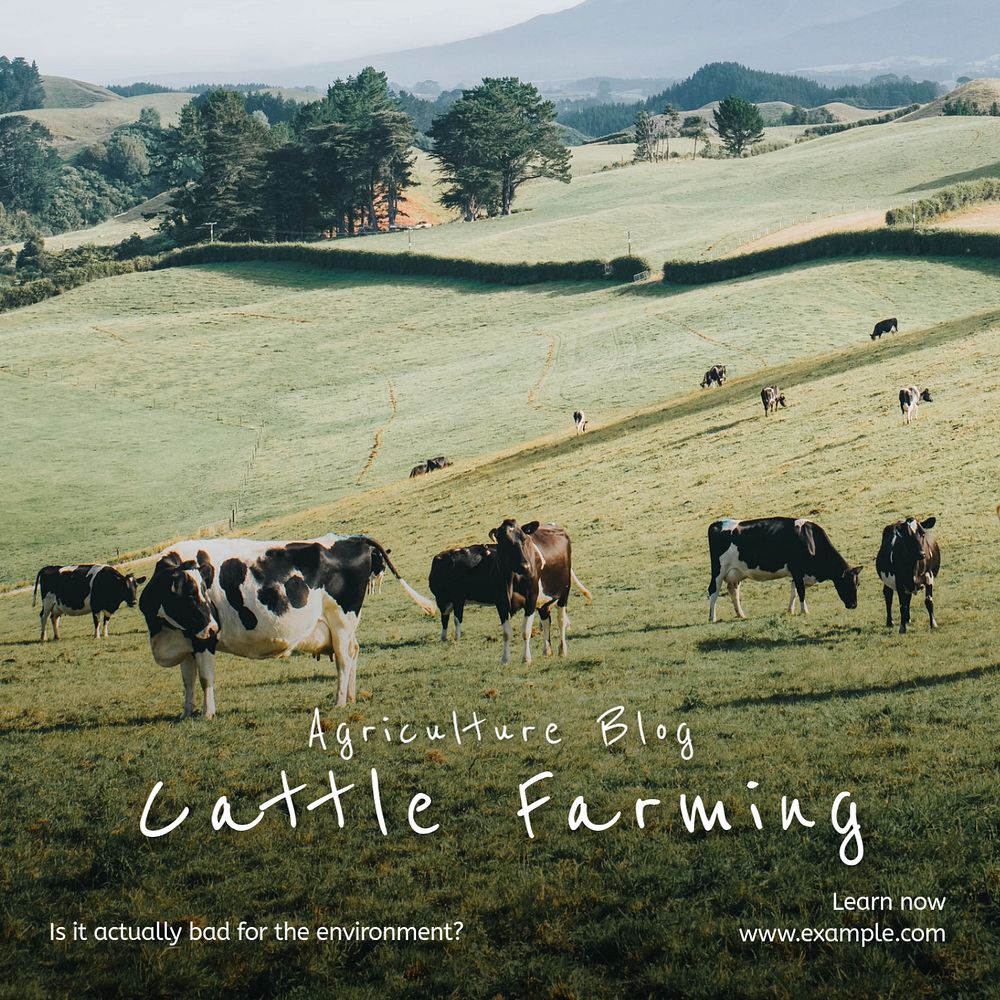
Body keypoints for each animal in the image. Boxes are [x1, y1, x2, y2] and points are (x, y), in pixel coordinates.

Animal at [138, 534, 435, 718]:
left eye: (202, 590)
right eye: (189, 593)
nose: (213, 625)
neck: (162, 632)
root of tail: (351, 539)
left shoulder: (202, 640)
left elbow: (204, 678)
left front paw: (207, 713)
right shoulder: (186, 640)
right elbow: (187, 680)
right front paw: (186, 713)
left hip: (340, 621)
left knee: (344, 660)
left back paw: (339, 701)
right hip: (347, 626)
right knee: (354, 652)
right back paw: (350, 697)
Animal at [707, 517, 862, 622]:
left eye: (857, 584)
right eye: (846, 583)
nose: (854, 605)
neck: (810, 539)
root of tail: (717, 523)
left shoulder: (797, 573)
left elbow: (794, 591)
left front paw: (790, 611)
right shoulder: (797, 570)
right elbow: (801, 592)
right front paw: (804, 611)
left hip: (736, 573)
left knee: (733, 590)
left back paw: (741, 615)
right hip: (718, 570)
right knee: (713, 590)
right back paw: (712, 618)